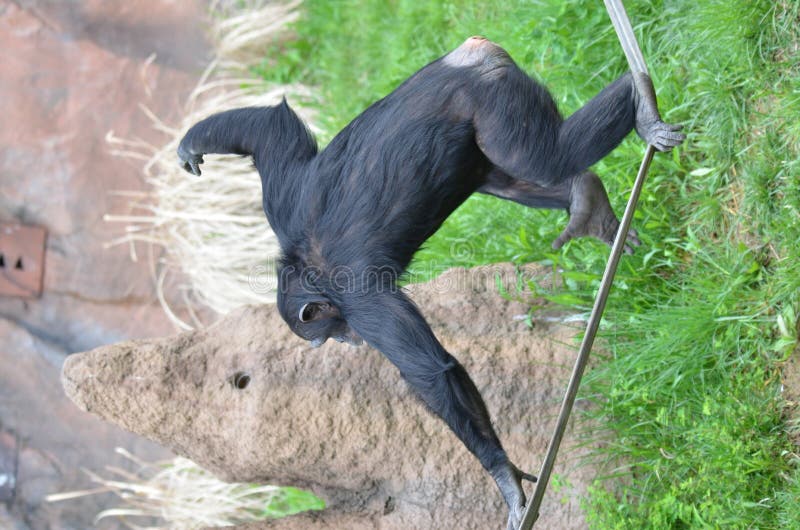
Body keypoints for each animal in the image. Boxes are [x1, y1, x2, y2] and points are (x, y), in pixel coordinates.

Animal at [178, 36, 684, 529]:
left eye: (331, 332)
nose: (348, 342)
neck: (310, 269)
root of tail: (469, 55)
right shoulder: (283, 200)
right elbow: (271, 127)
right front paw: (191, 144)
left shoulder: (362, 297)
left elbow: (431, 373)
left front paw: (503, 478)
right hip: (484, 130)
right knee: (505, 179)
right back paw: (589, 200)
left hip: (494, 99)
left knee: (541, 158)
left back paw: (638, 98)